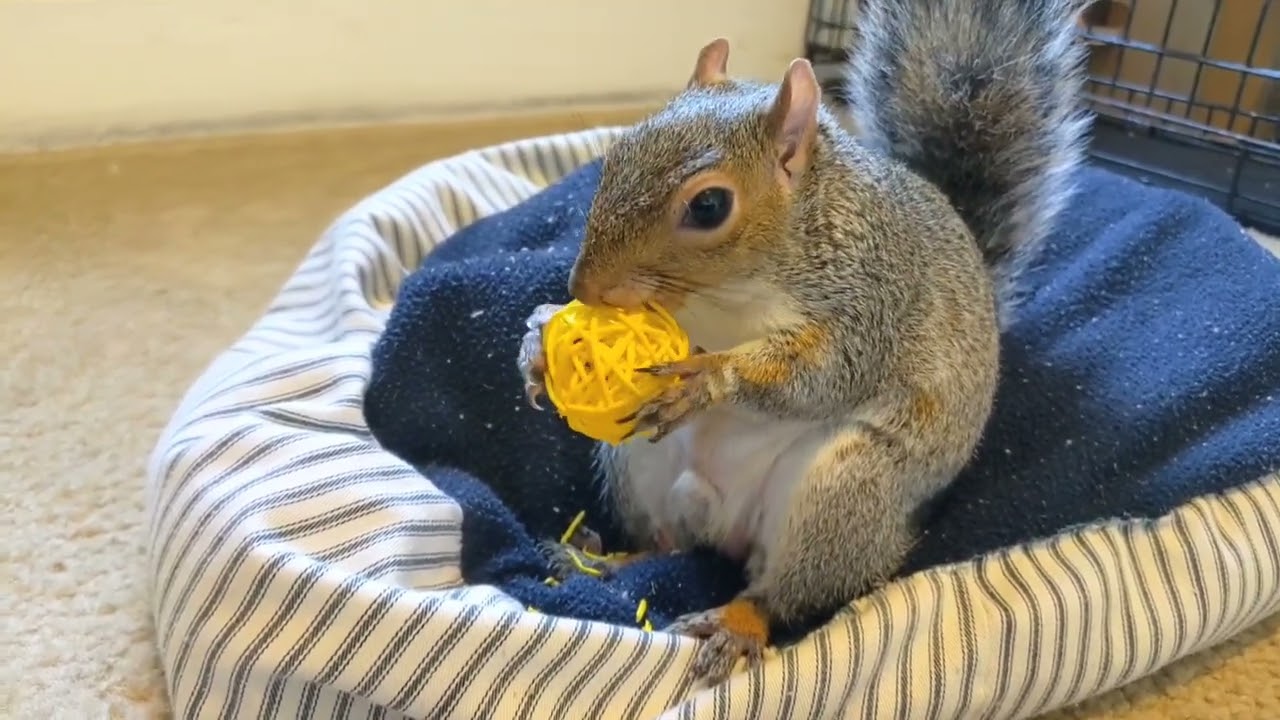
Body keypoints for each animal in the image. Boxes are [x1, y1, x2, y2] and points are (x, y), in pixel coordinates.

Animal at [517, 0, 1090, 685]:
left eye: (708, 206)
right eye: (616, 155)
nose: (585, 287)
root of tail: (727, 531)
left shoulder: (872, 298)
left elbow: (824, 372)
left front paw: (712, 379)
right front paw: (538, 340)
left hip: (843, 491)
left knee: (781, 593)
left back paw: (735, 623)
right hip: (637, 464)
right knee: (668, 545)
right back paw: (609, 563)